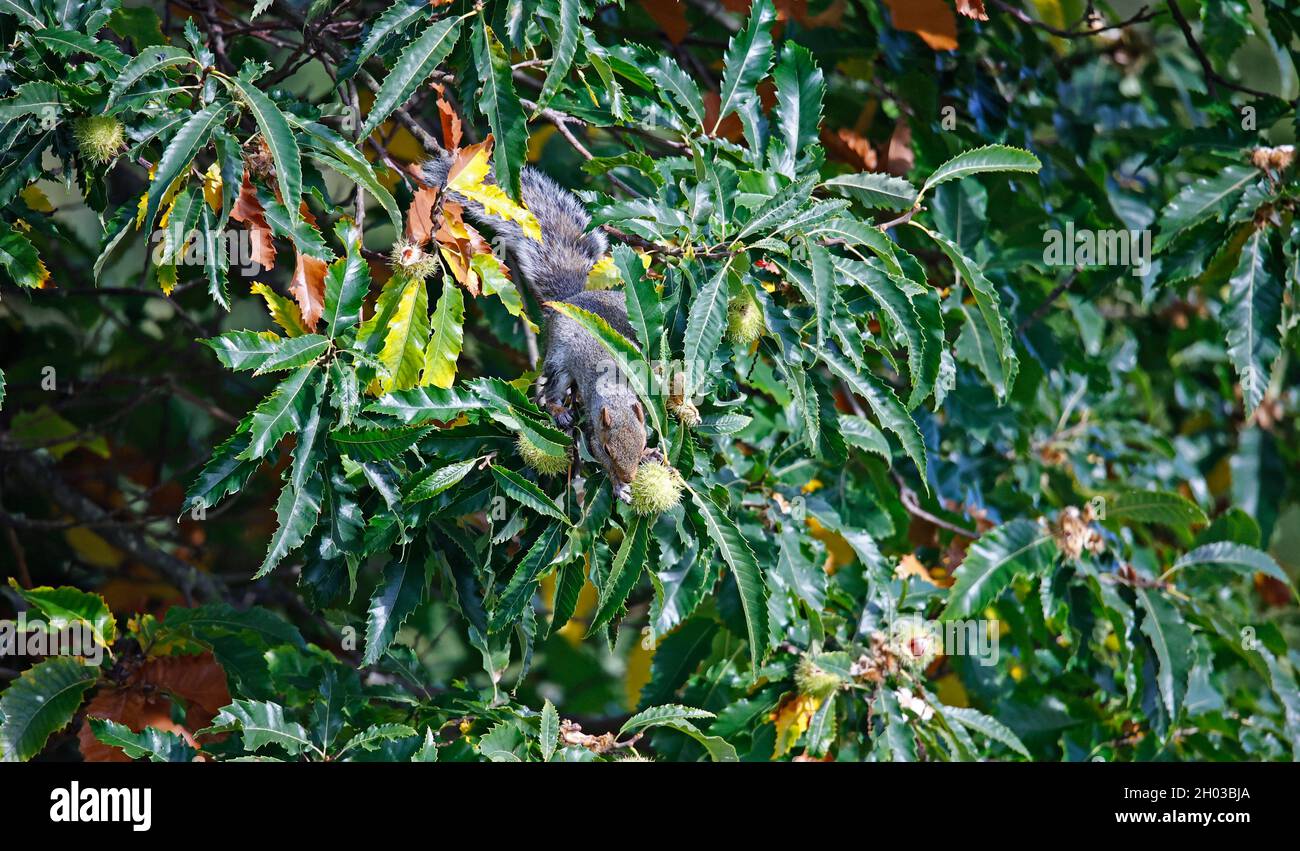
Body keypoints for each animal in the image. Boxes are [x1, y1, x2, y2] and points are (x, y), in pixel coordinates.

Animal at [421, 153, 654, 502]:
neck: (614, 391)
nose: (629, 475)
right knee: (550, 391)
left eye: (640, 445)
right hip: (558, 357)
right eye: (606, 450)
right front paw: (618, 485)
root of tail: (571, 300)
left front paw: (653, 455)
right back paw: (559, 410)